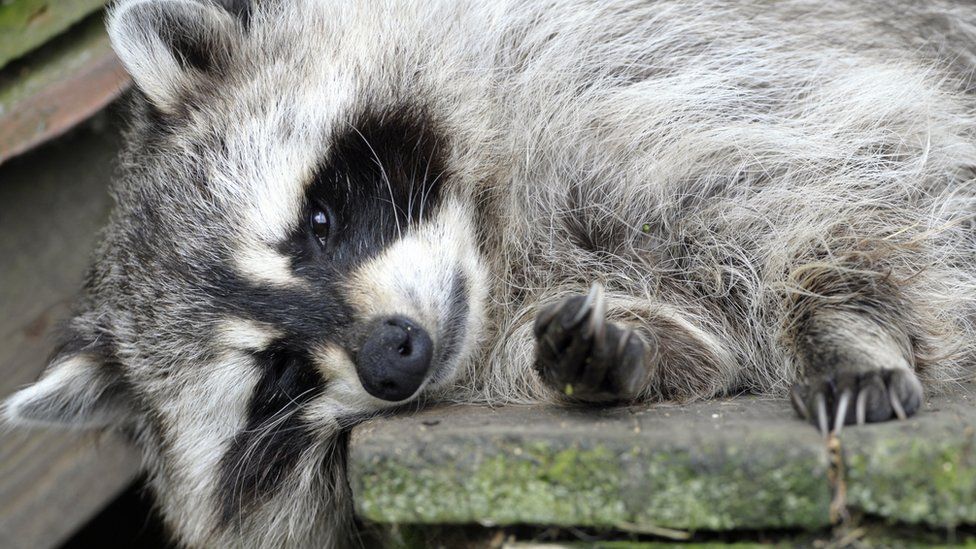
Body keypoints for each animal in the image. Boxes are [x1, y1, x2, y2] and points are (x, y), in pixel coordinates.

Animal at [5, 0, 976, 547]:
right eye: (278, 377)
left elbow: (851, 173)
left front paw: (840, 316)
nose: (394, 353)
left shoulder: (623, 70)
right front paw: (620, 355)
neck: (498, 253)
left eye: (317, 226)